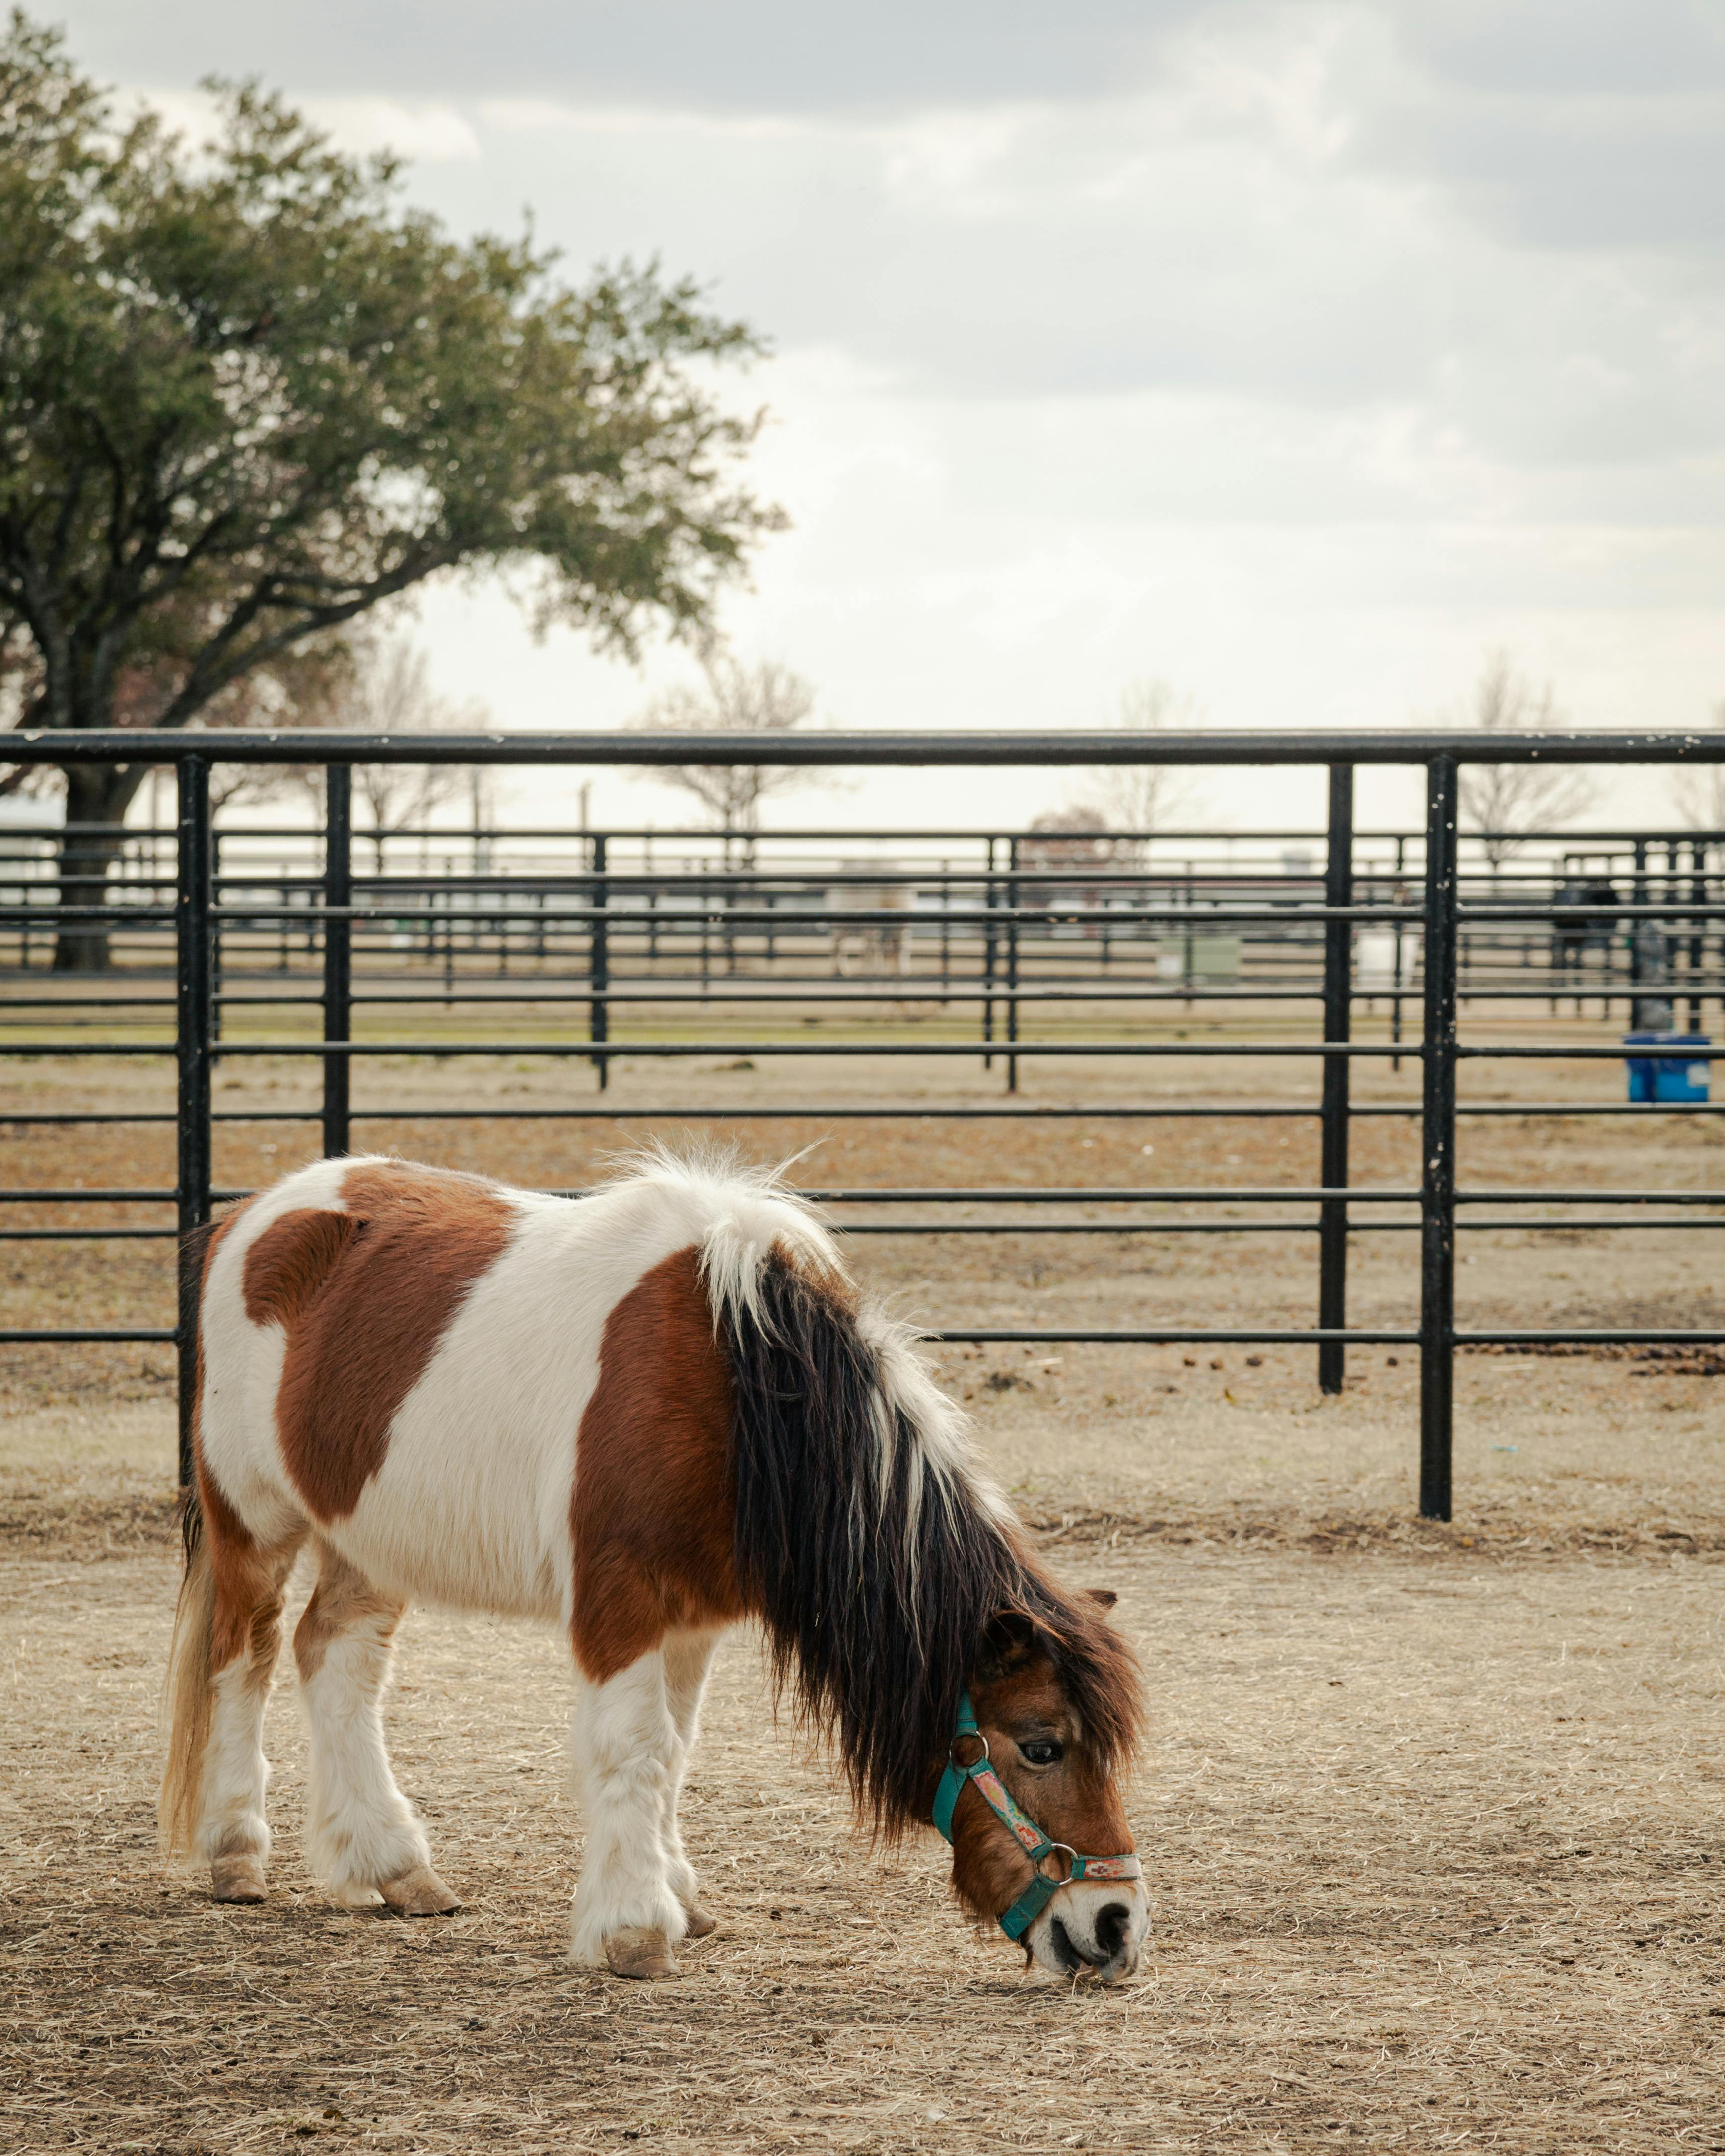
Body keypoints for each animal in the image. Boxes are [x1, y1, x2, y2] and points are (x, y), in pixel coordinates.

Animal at [160, 1150, 1147, 1983]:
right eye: (1042, 1744)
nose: (1116, 1925)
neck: (734, 1387)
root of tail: (253, 1214)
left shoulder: (694, 1618)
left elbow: (675, 1749)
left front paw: (676, 1894)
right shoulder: (621, 1602)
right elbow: (634, 1746)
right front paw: (633, 1926)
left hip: (370, 1539)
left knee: (336, 1659)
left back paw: (396, 1866)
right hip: (255, 1522)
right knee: (244, 1657)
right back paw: (236, 1850)